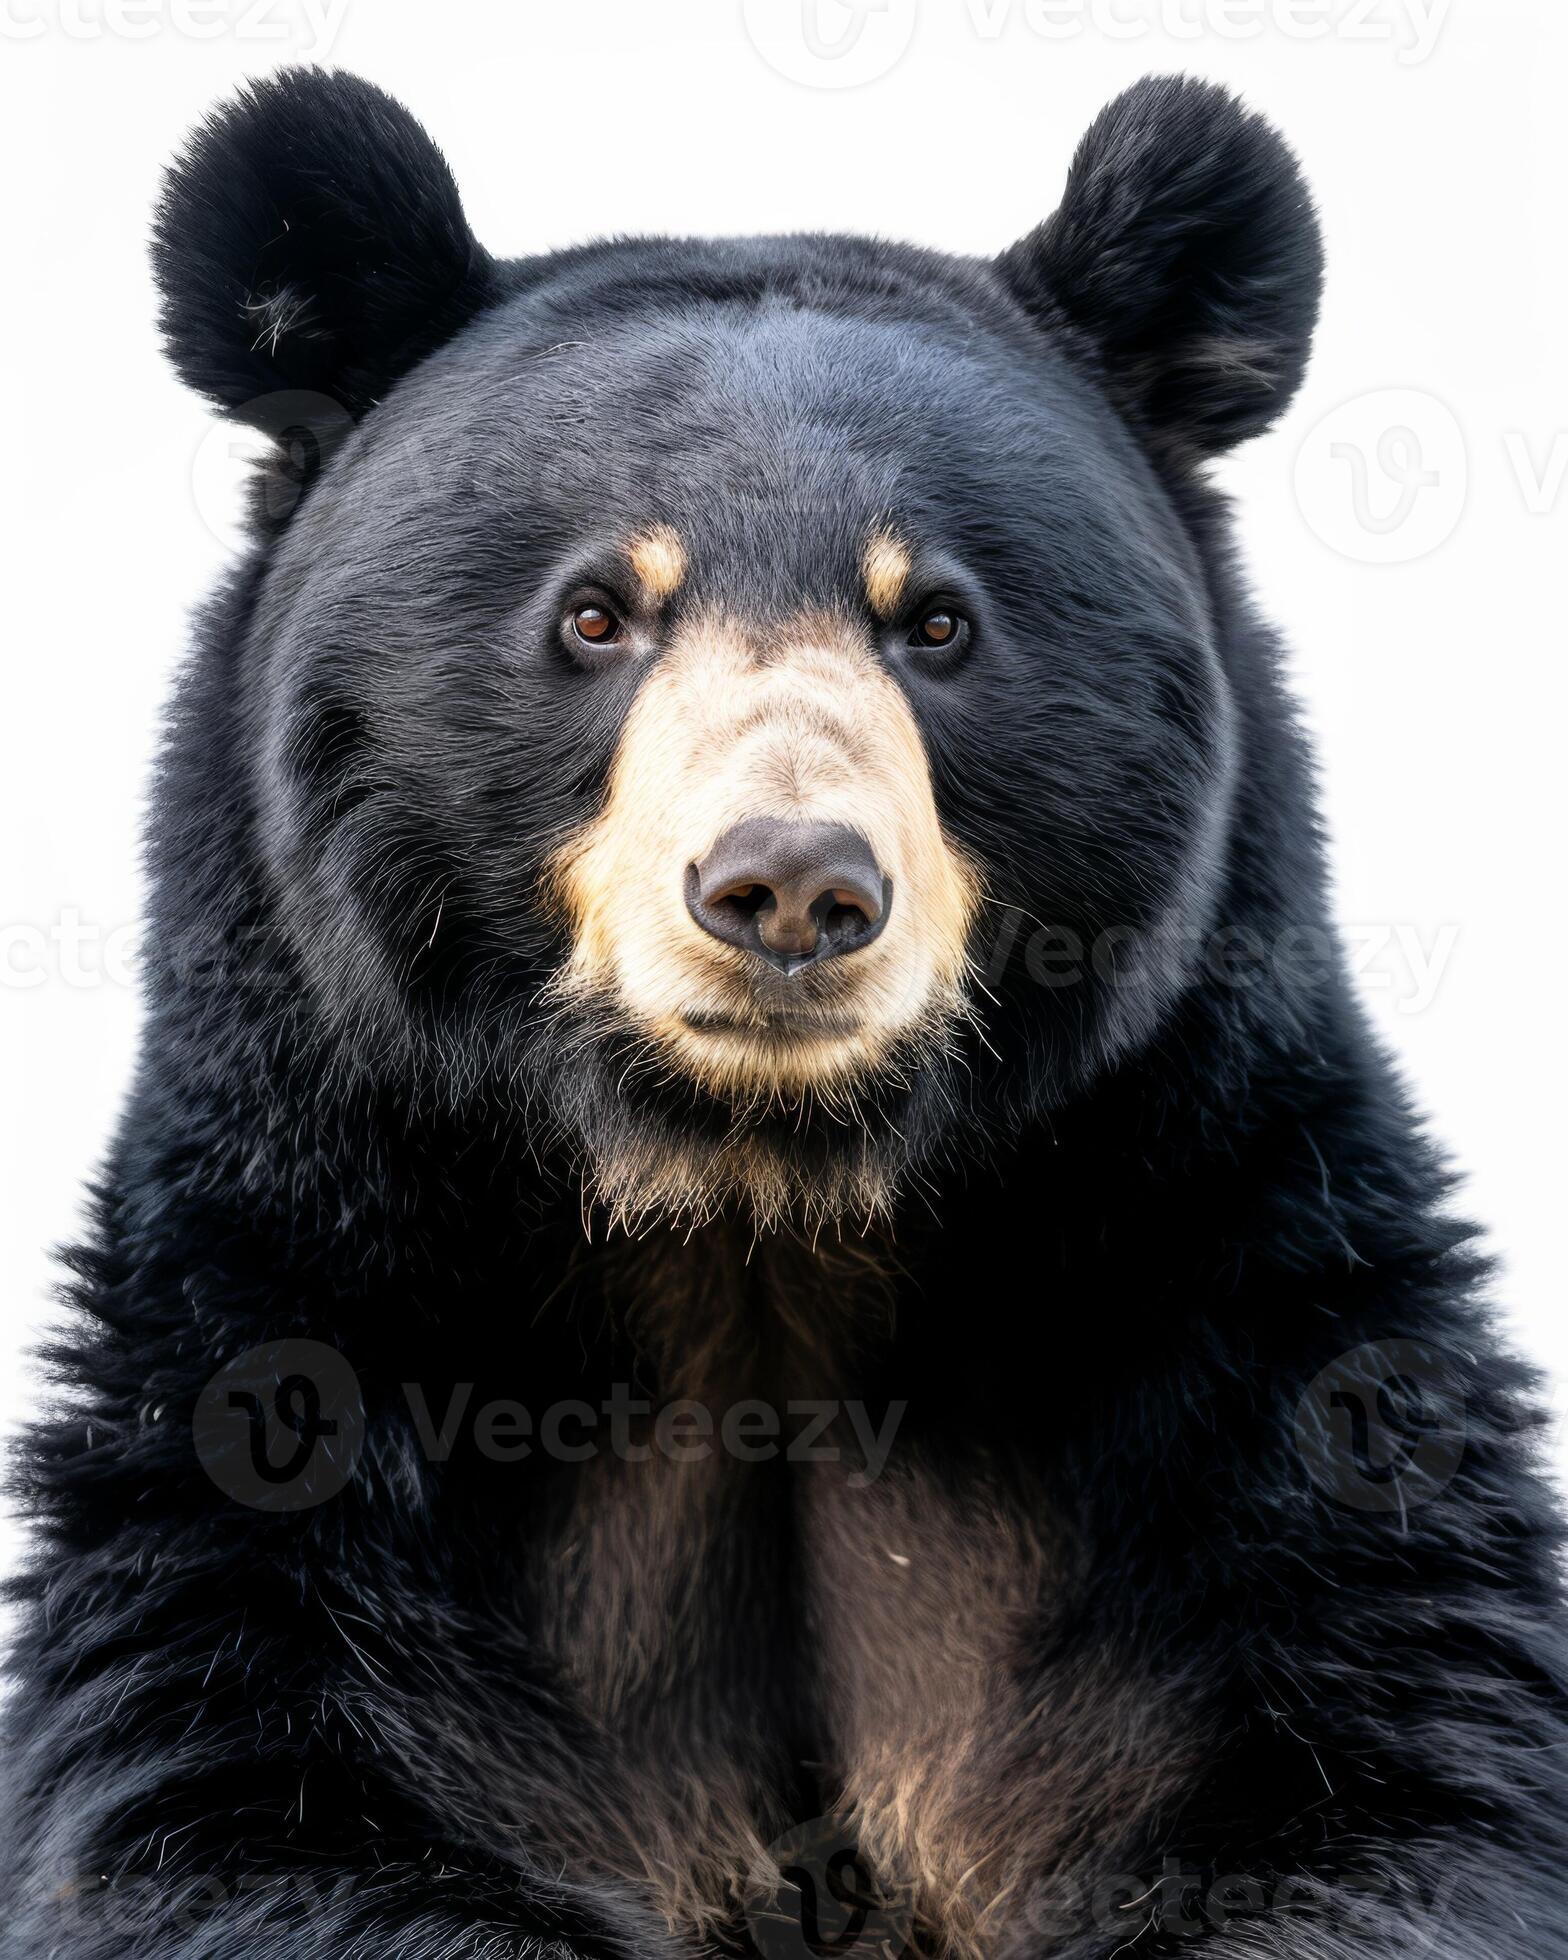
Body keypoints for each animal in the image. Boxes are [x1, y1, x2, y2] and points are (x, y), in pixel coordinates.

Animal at [3, 61, 1566, 1960]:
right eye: (597, 612)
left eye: (938, 620)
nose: (790, 886)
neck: (761, 1204)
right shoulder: (300, 1331)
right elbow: (236, 1786)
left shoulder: (1221, 1305)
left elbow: (1391, 1749)